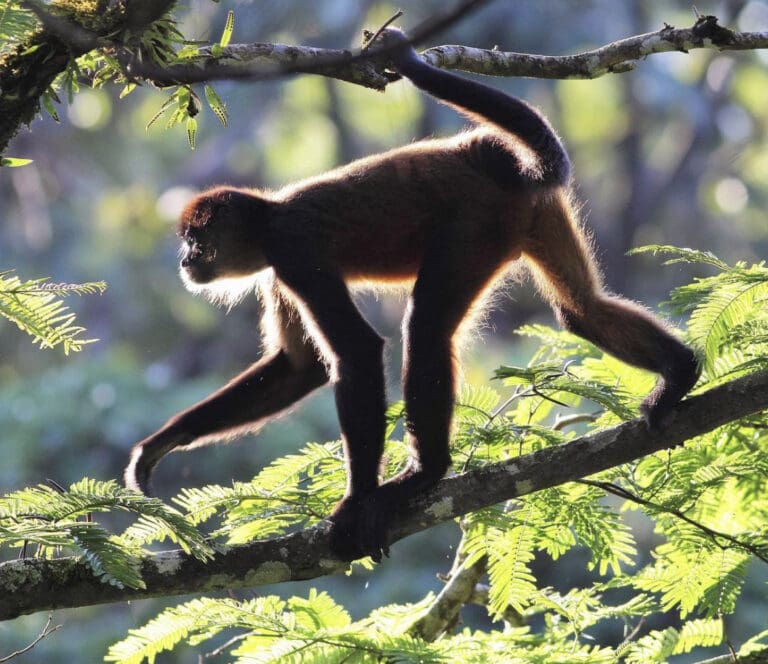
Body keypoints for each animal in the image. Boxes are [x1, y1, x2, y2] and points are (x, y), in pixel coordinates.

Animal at [124, 28, 700, 561]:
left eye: (196, 241)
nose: (185, 262)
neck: (269, 216)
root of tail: (501, 163)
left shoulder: (293, 249)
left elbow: (356, 351)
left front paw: (358, 503)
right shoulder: (276, 273)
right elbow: (300, 367)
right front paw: (159, 447)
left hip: (473, 227)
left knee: (426, 327)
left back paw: (425, 474)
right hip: (532, 216)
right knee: (581, 310)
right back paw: (681, 372)